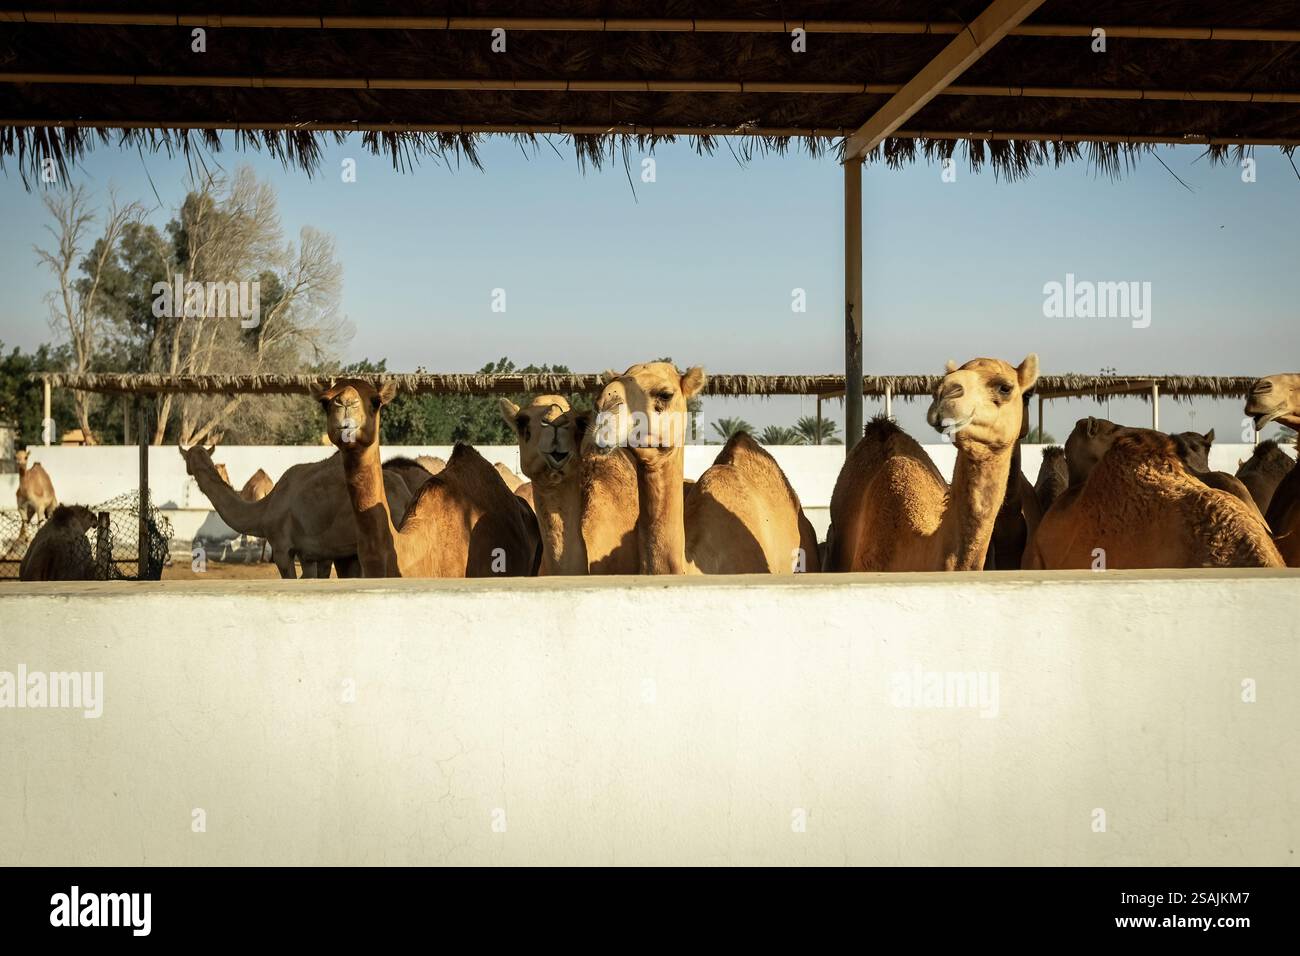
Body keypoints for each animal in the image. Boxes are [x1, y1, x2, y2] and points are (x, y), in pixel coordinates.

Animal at [179, 443, 414, 578]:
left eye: (186, 457)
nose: (189, 469)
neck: (264, 510)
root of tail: (406, 496)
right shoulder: (308, 553)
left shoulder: (283, 548)